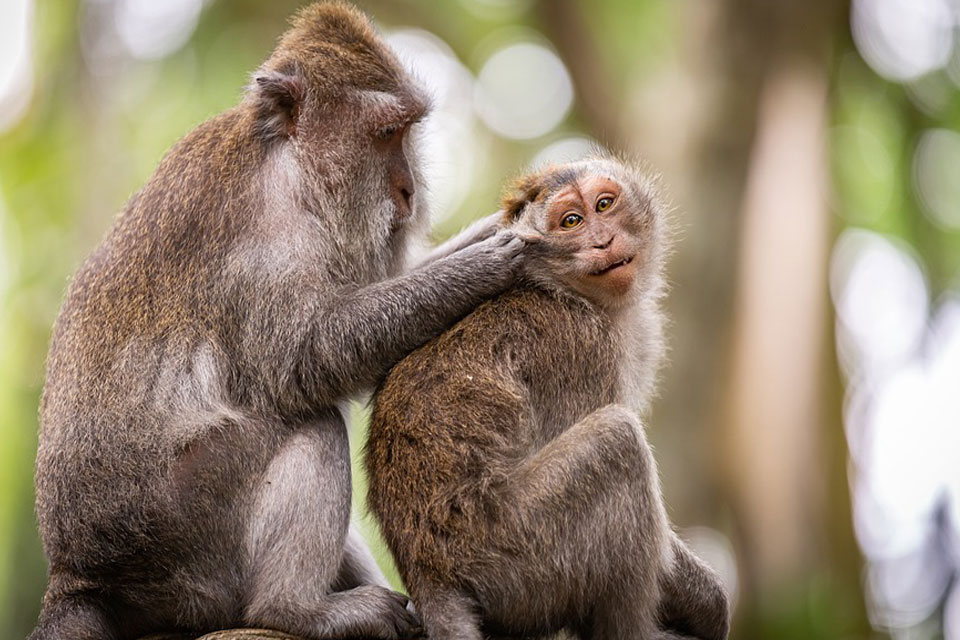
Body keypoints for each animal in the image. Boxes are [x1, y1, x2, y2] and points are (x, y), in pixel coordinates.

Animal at [30, 3, 542, 640]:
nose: (408, 190)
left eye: (407, 130)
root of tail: (77, 574)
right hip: (186, 534)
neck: (288, 160)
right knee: (312, 424)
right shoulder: (268, 238)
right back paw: (294, 610)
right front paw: (482, 267)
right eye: (386, 133)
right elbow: (307, 358)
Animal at [365, 157, 730, 640]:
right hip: (515, 553)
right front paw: (708, 601)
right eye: (571, 222)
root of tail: (429, 574)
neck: (567, 293)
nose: (603, 240)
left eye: (604, 205)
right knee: (618, 441)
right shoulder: (583, 351)